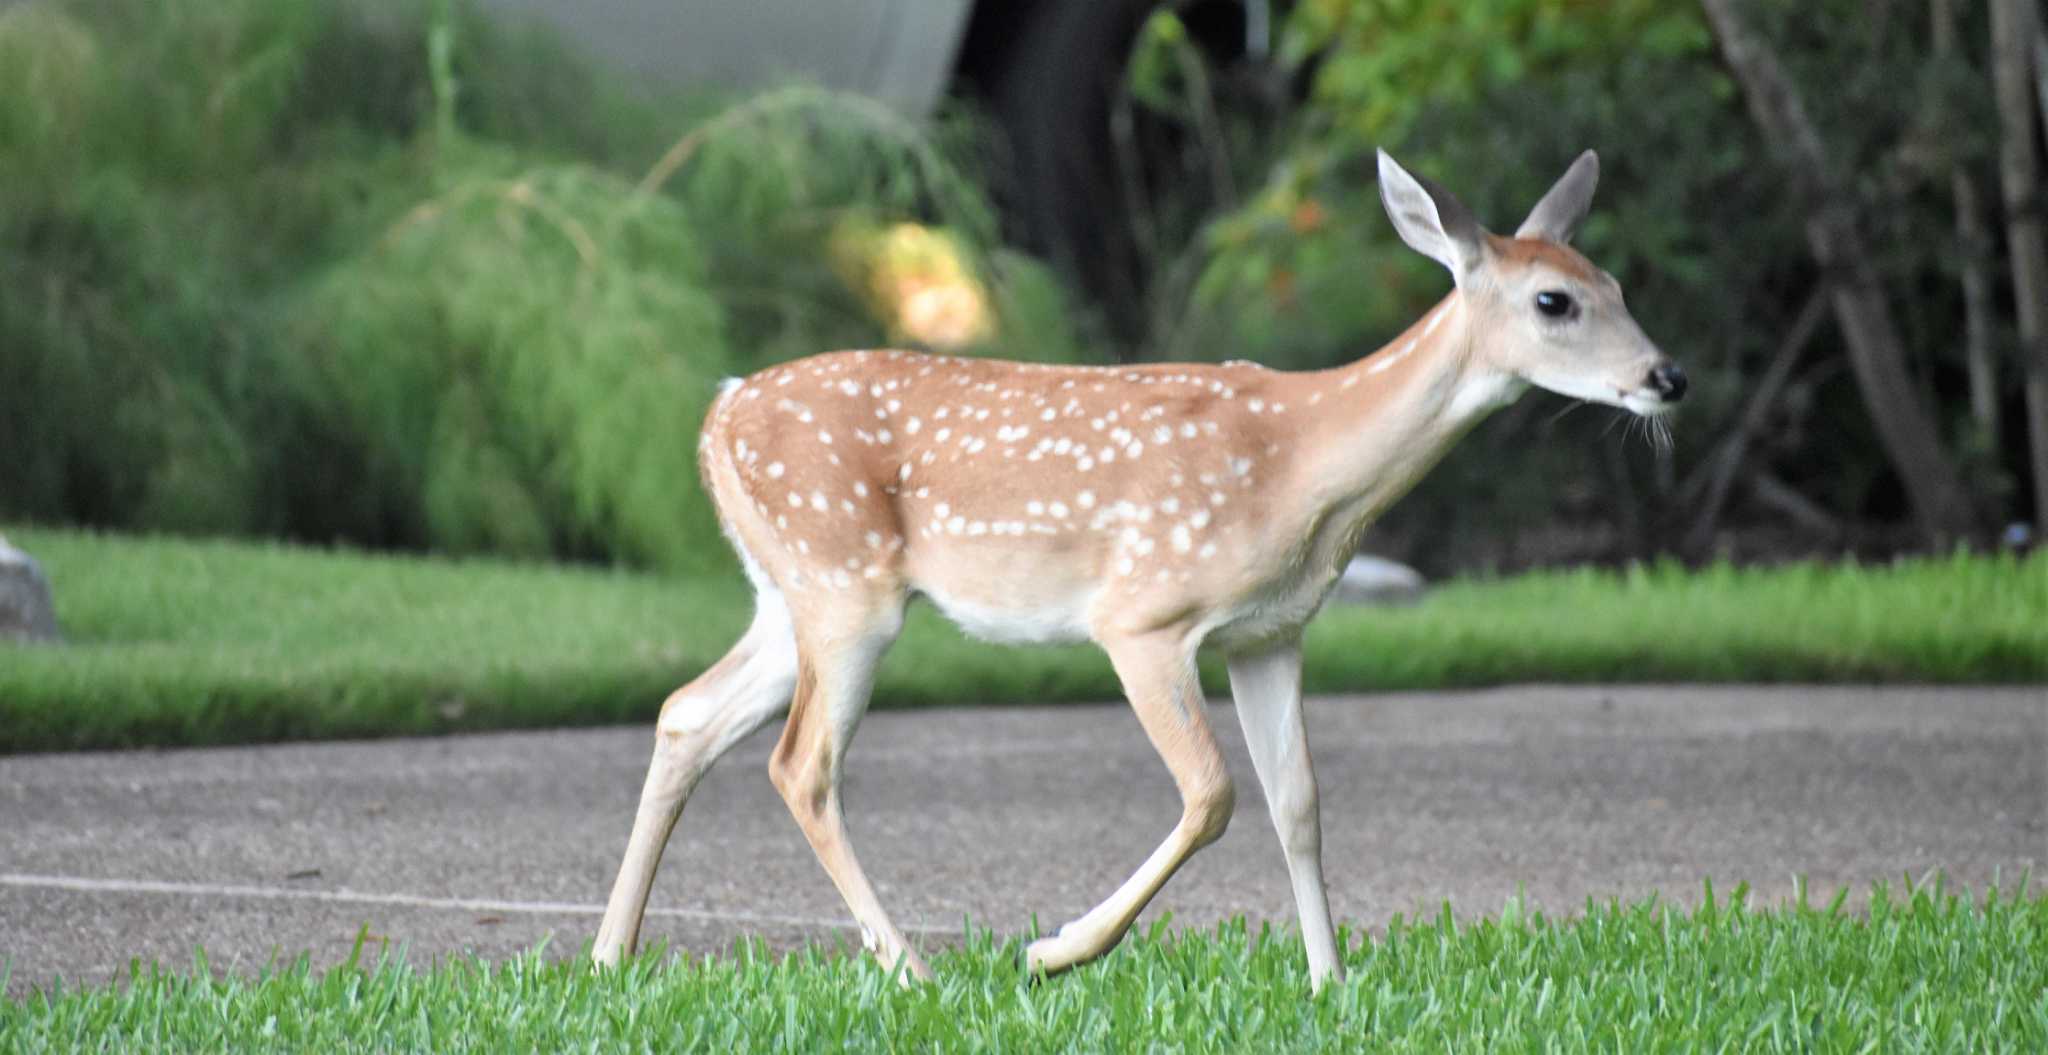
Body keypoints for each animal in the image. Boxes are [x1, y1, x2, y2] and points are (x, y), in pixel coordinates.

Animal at [590, 149, 1687, 991]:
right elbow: (1213, 793)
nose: (1666, 376)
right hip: (844, 581)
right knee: (801, 762)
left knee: (686, 711)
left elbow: (1298, 801)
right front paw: (1056, 949)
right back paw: (910, 966)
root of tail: (716, 414)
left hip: (789, 590)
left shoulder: (1272, 630)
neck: (1302, 467)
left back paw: (610, 954)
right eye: (1553, 300)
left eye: (1620, 287)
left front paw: (1330, 981)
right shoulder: (1145, 613)